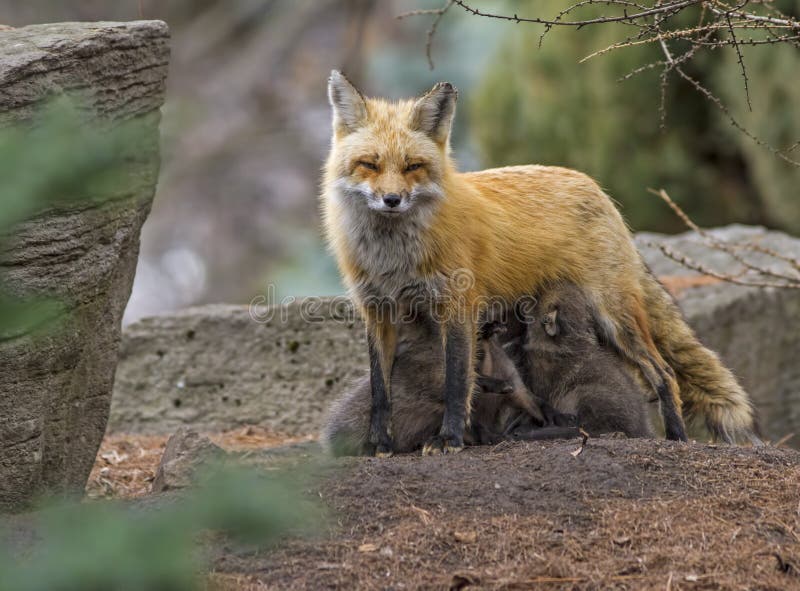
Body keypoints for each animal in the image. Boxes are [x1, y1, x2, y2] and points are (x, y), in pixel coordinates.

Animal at [321, 70, 757, 456]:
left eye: (413, 166)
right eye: (369, 164)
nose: (392, 200)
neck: (394, 256)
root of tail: (595, 187)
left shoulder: (457, 306)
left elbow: (456, 382)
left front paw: (449, 439)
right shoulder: (377, 310)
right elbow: (381, 388)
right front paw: (378, 444)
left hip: (614, 317)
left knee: (663, 373)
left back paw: (676, 438)